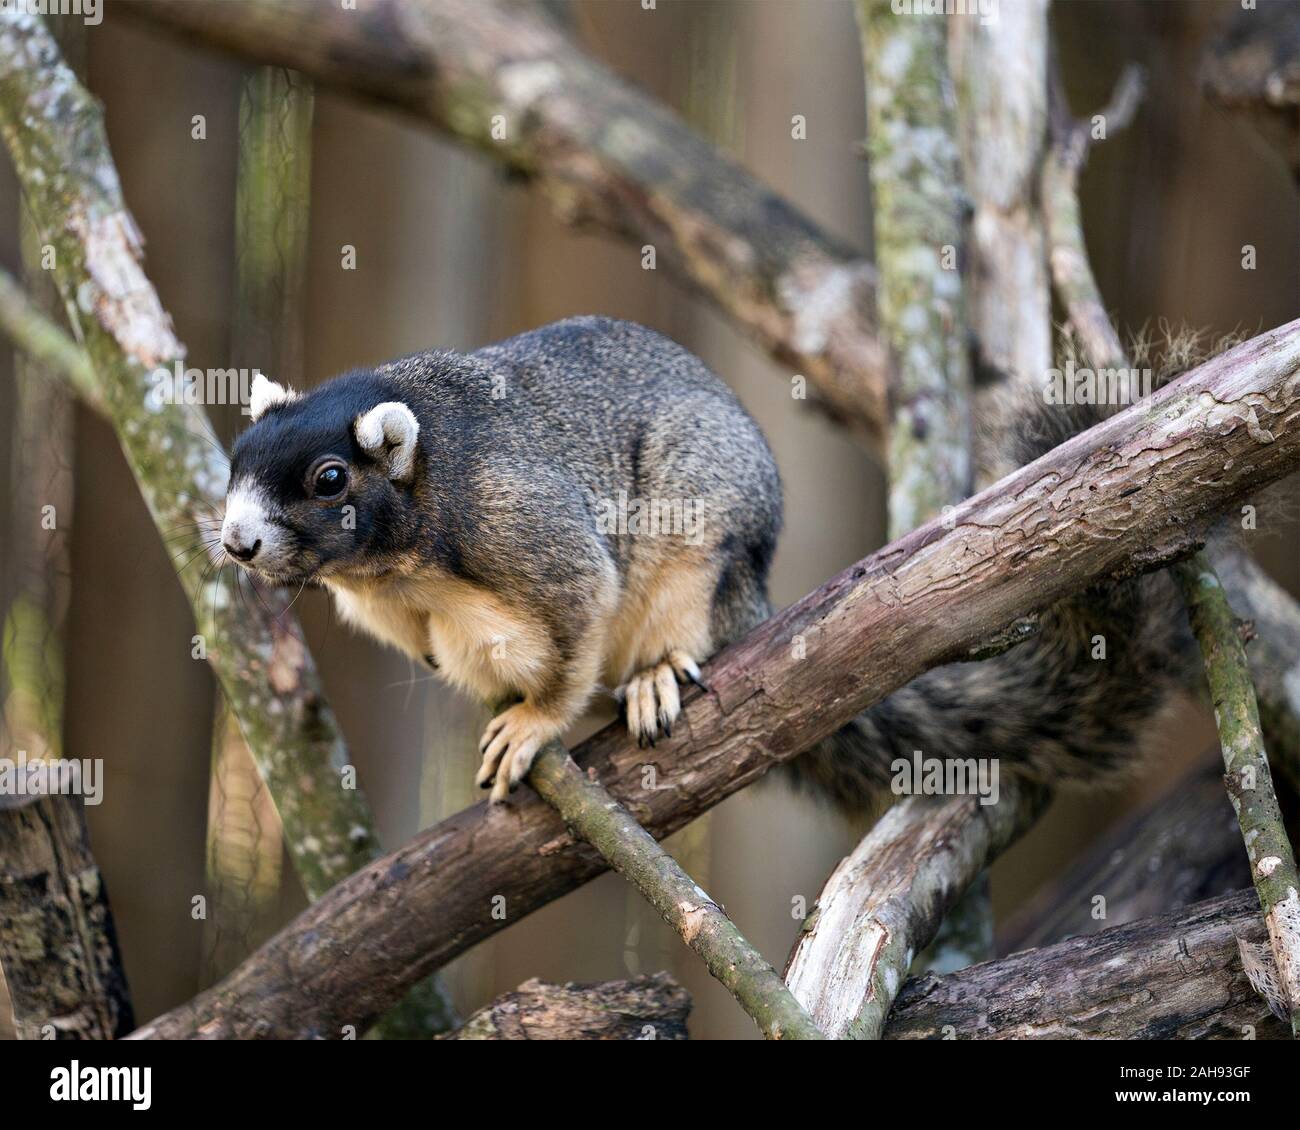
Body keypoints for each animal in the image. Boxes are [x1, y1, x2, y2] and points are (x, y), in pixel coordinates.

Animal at [221, 315, 1191, 807]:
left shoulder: (521, 521)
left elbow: (577, 616)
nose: (235, 541)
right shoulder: (387, 606)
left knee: (682, 625)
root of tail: (751, 594)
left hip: (699, 541)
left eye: (329, 479)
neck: (397, 568)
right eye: (233, 462)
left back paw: (655, 673)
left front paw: (534, 723)